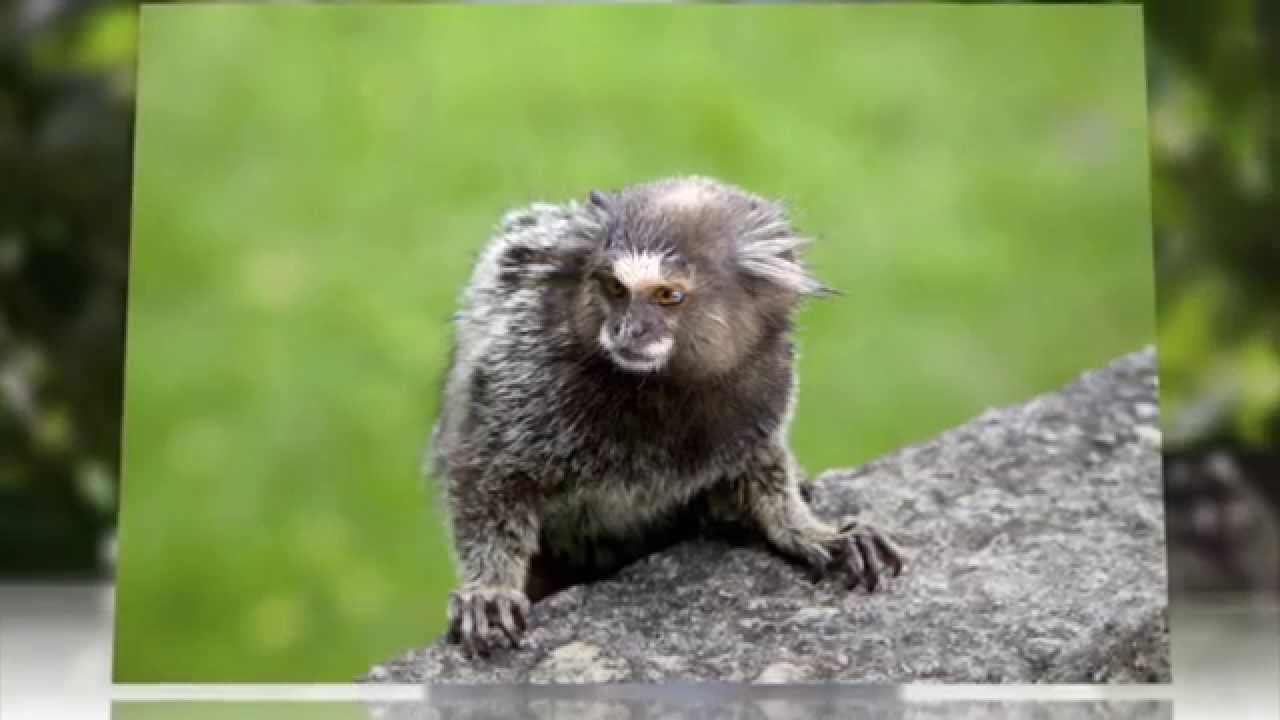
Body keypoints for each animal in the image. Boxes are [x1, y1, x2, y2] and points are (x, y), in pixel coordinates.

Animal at [427, 176, 903, 656]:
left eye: (668, 296)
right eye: (615, 289)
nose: (627, 331)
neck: (658, 388)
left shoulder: (763, 393)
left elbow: (765, 476)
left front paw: (810, 532)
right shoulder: (526, 384)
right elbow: (488, 479)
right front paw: (491, 589)